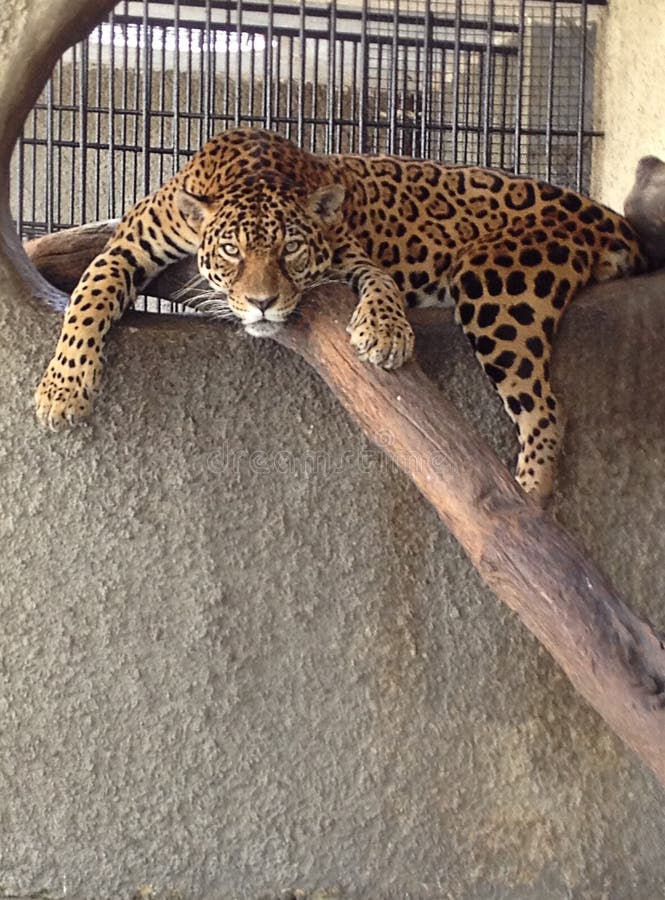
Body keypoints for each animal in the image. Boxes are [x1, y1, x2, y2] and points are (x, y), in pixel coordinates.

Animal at [34, 127, 652, 500]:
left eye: (290, 249)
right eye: (231, 250)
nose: (262, 302)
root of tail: (610, 217)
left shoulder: (350, 251)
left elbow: (381, 282)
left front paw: (384, 332)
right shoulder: (124, 247)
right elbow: (89, 295)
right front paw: (62, 392)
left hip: (498, 282)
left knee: (546, 409)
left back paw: (526, 498)